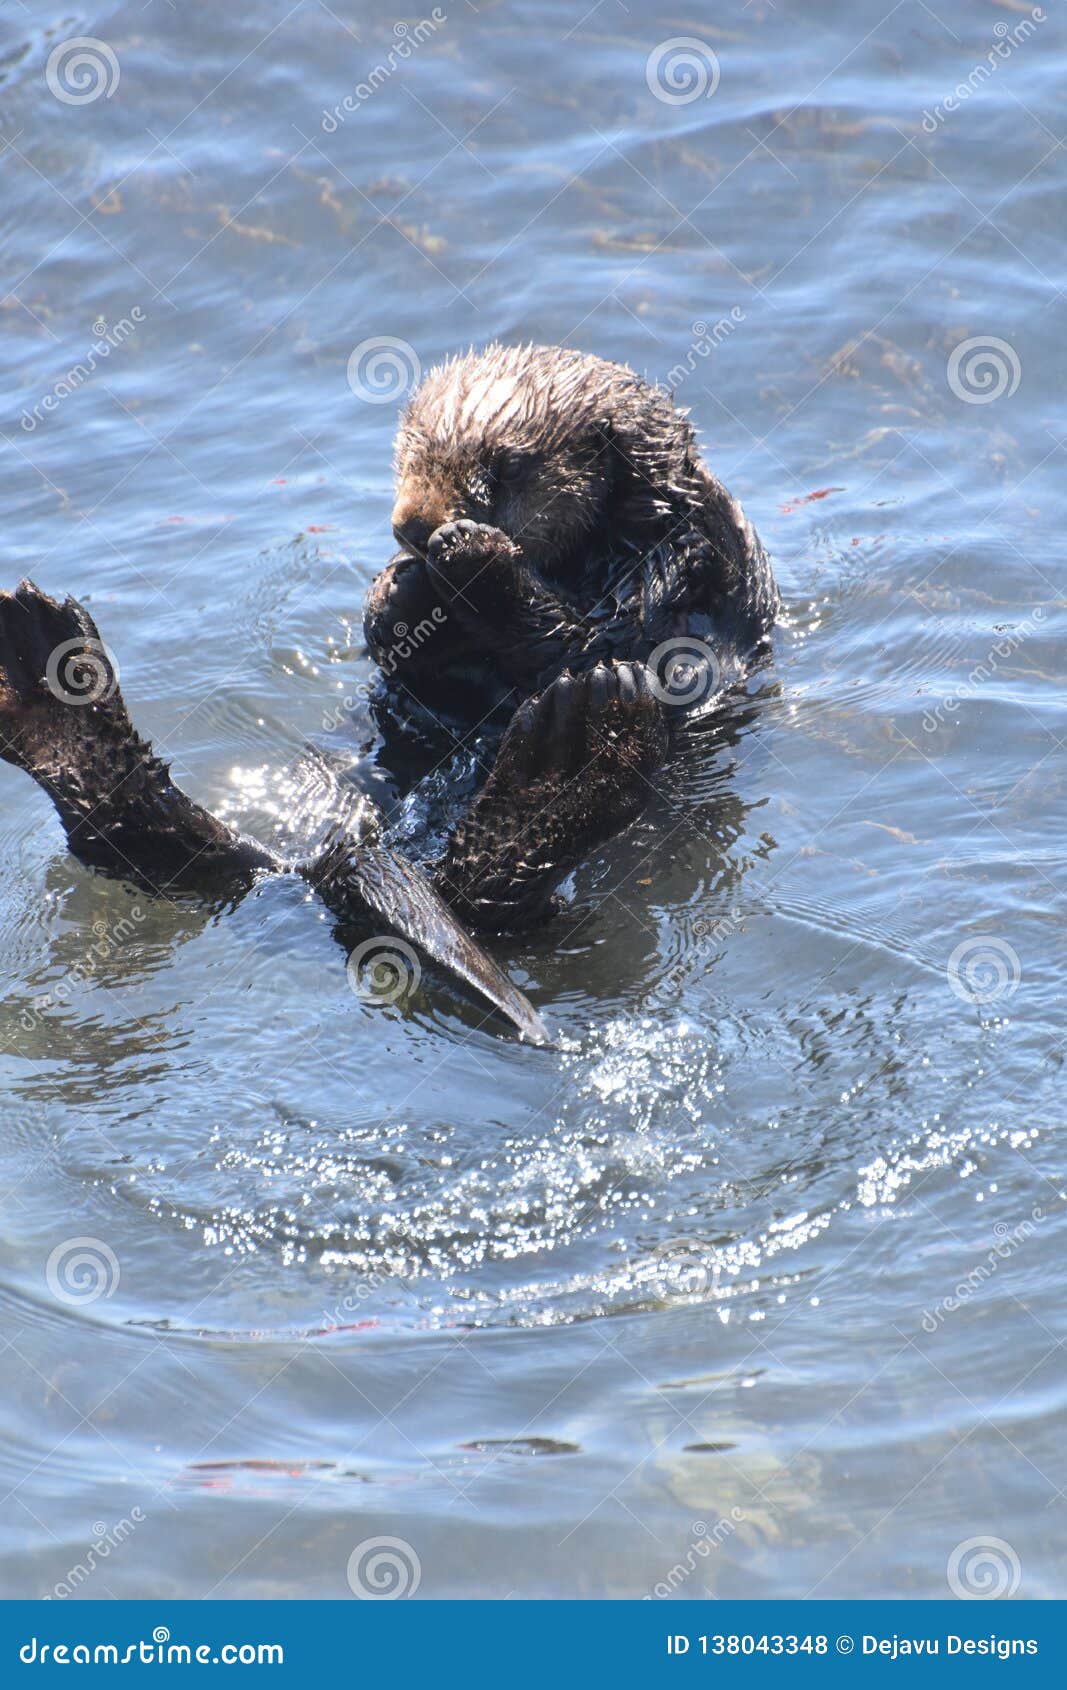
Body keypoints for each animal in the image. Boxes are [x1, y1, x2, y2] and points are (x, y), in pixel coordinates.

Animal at [0, 344, 776, 1037]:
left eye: (504, 469)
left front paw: (471, 558)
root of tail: (318, 873)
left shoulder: (680, 571)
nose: (413, 524)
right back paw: (43, 680)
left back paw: (577, 746)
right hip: (321, 797)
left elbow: (596, 642)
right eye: (406, 450)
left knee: (494, 901)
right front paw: (397, 591)